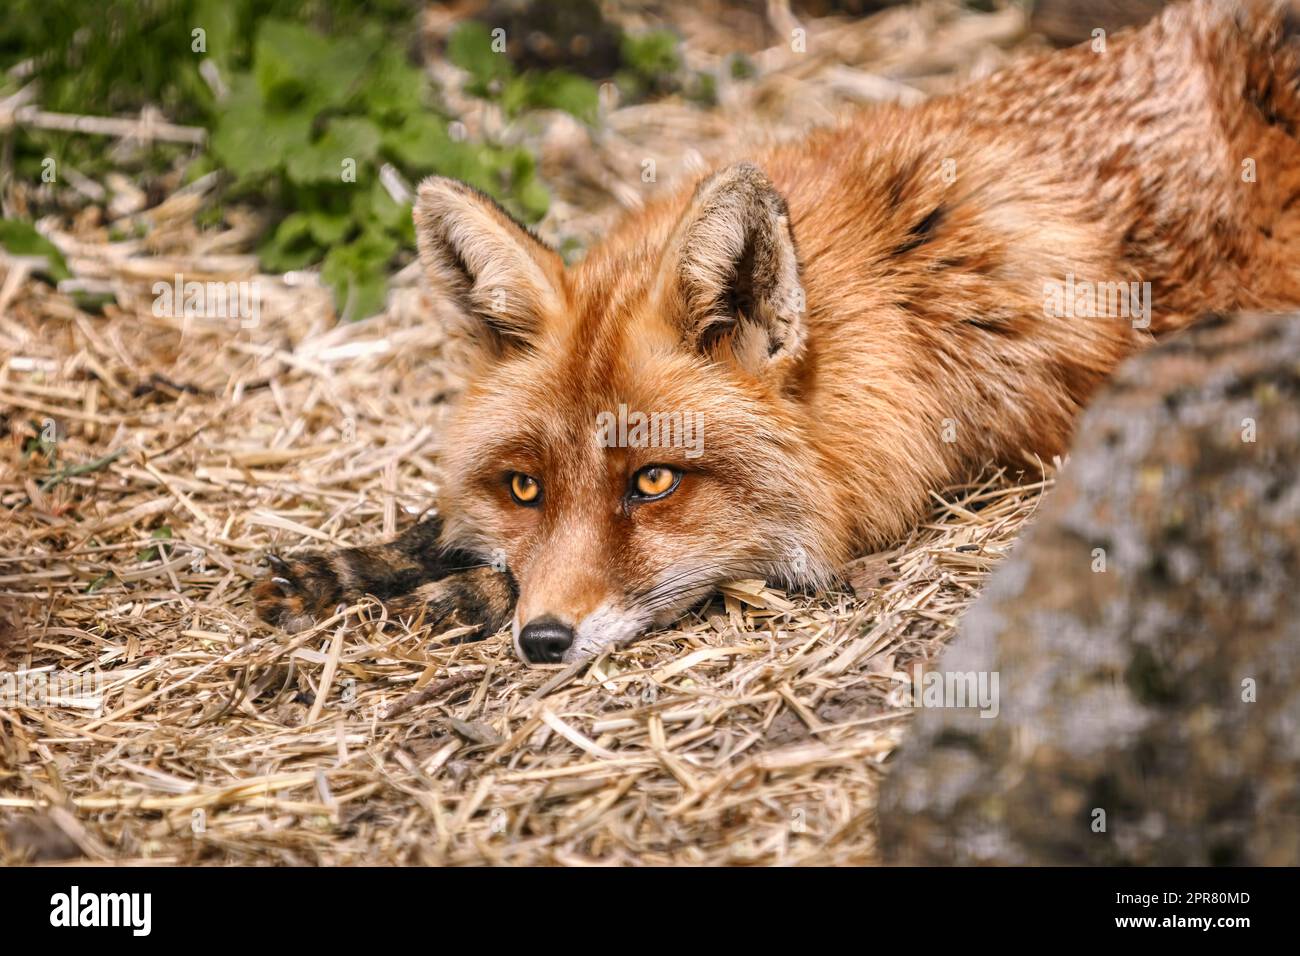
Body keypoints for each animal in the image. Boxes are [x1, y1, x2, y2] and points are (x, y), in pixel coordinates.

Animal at [255, 0, 1300, 664]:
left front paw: (458, 593)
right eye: (523, 487)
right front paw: (351, 565)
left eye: (655, 482)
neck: (909, 286)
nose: (544, 643)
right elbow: (436, 531)